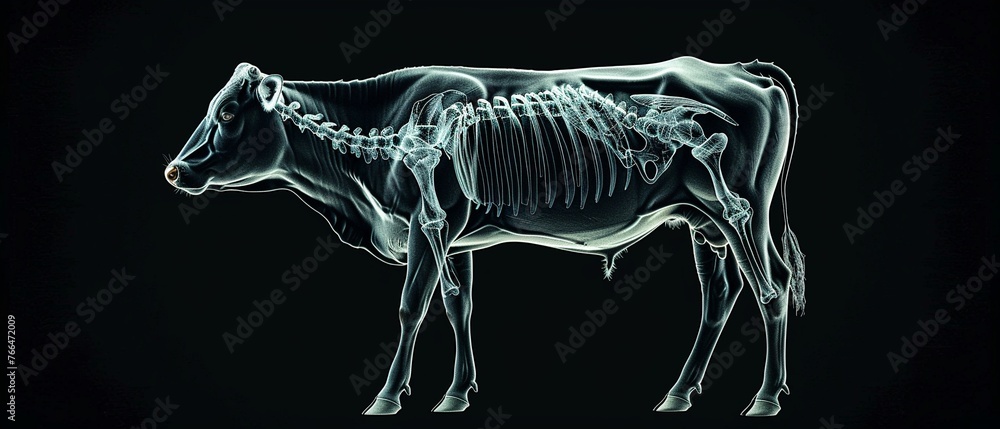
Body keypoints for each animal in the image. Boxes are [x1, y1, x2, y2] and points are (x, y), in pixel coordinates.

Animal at [164, 56, 805, 417]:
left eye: (226, 113)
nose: (174, 170)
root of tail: (741, 70)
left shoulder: (430, 222)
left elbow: (411, 306)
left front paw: (386, 398)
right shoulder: (458, 239)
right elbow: (458, 305)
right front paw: (455, 393)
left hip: (739, 208)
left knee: (771, 286)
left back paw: (766, 399)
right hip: (700, 223)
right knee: (720, 294)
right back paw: (677, 394)